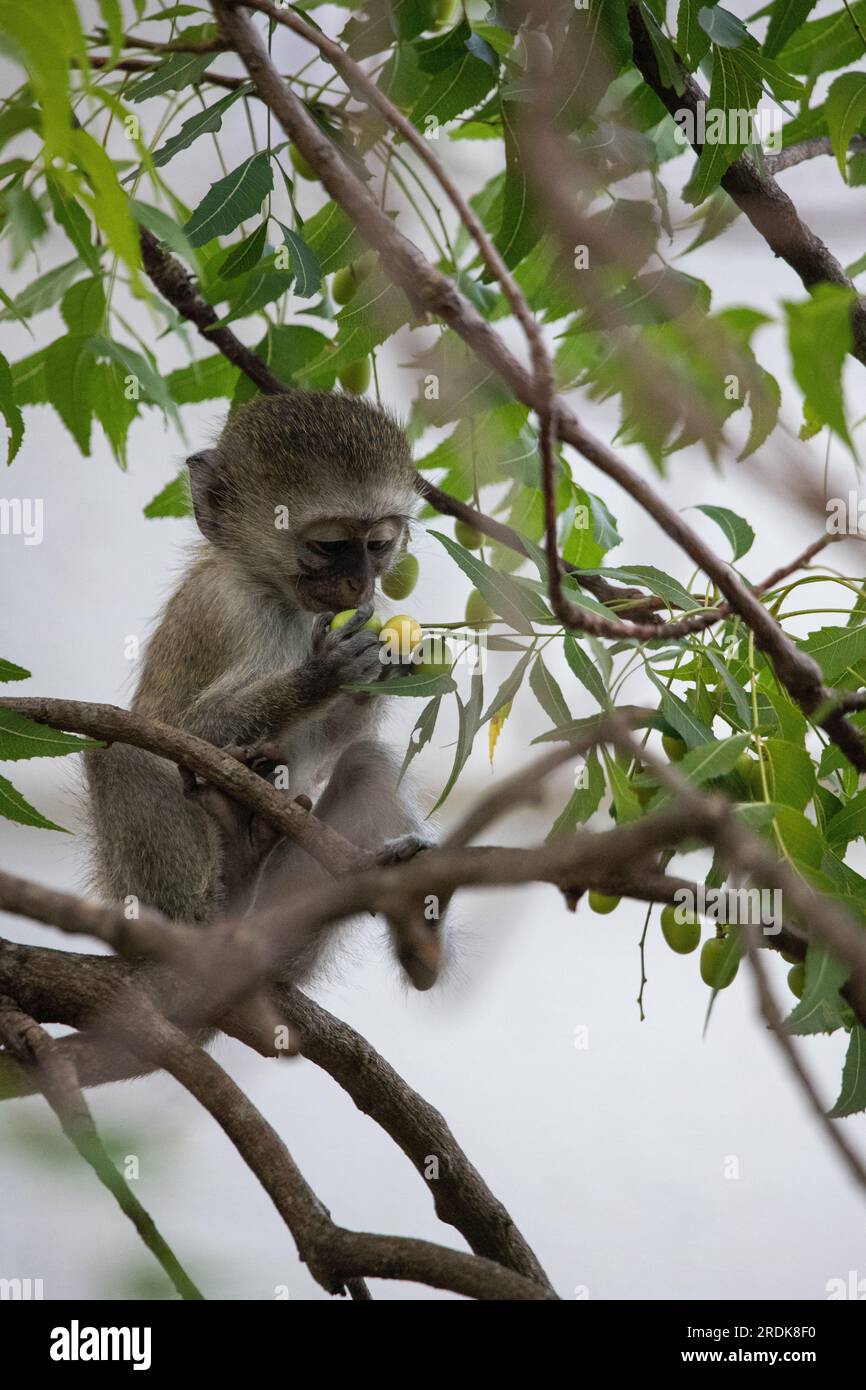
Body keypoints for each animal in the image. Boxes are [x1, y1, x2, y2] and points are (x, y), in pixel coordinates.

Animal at [84, 390, 443, 989]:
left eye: (378, 544)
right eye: (329, 545)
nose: (360, 582)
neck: (279, 596)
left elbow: (333, 745)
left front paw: (382, 670)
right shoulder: (231, 609)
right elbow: (192, 732)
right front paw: (323, 673)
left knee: (367, 763)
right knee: (122, 753)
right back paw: (216, 904)